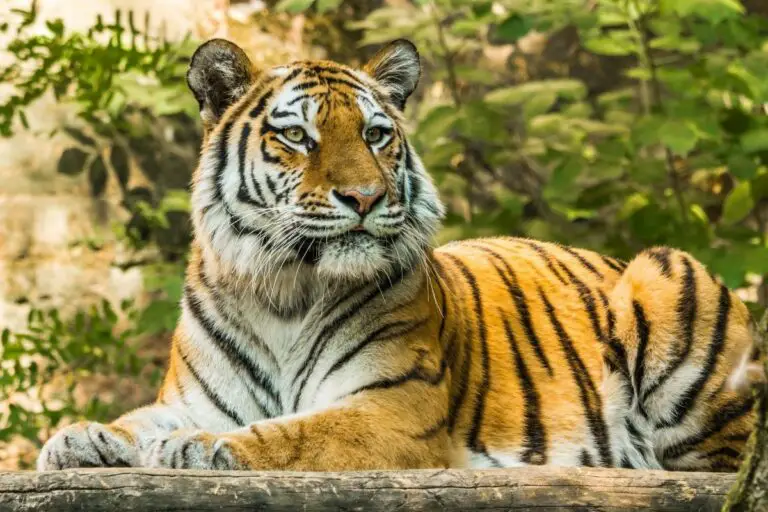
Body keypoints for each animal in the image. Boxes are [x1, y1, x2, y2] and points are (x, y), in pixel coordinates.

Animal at [37, 38, 764, 473]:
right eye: (297, 137)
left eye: (375, 134)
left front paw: (198, 448)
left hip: (666, 277)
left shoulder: (394, 409)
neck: (283, 287)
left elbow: (295, 432)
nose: (364, 197)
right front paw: (80, 436)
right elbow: (139, 418)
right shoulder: (197, 394)